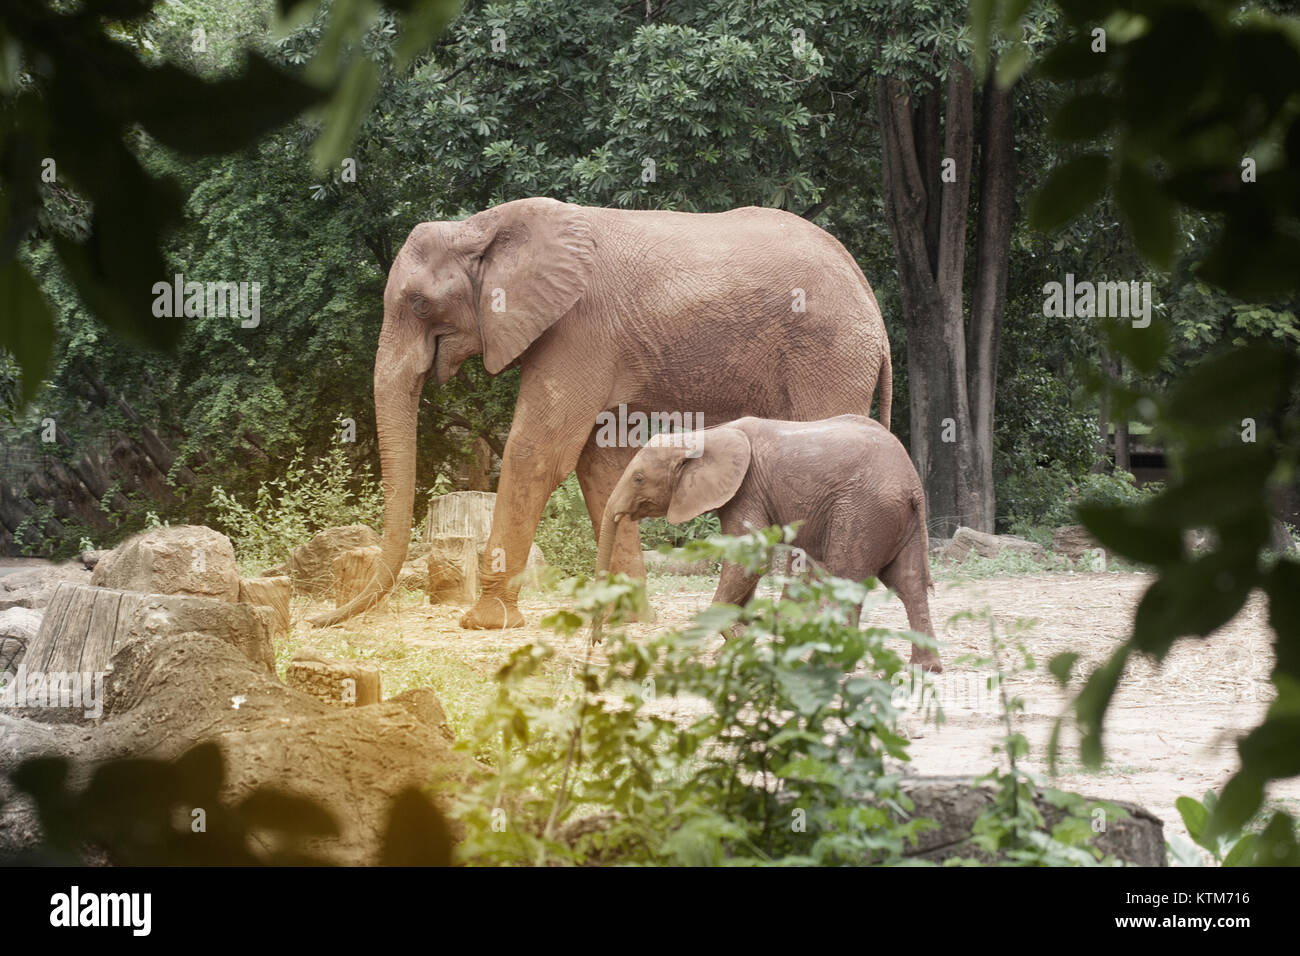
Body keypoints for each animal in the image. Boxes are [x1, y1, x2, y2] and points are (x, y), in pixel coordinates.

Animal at [311, 197, 893, 630]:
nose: (318, 623)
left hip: (827, 351)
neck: (479, 227)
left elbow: (537, 452)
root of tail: (872, 302)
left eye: (418, 304)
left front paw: (483, 623)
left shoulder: (578, 329)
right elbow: (600, 464)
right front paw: (625, 621)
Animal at [595, 415, 943, 673]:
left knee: (846, 577)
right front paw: (732, 649)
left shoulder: (746, 489)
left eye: (638, 478)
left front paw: (736, 640)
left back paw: (829, 664)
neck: (704, 434)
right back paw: (924, 668)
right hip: (895, 516)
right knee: (908, 582)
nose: (596, 640)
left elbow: (751, 557)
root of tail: (913, 485)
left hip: (863, 508)